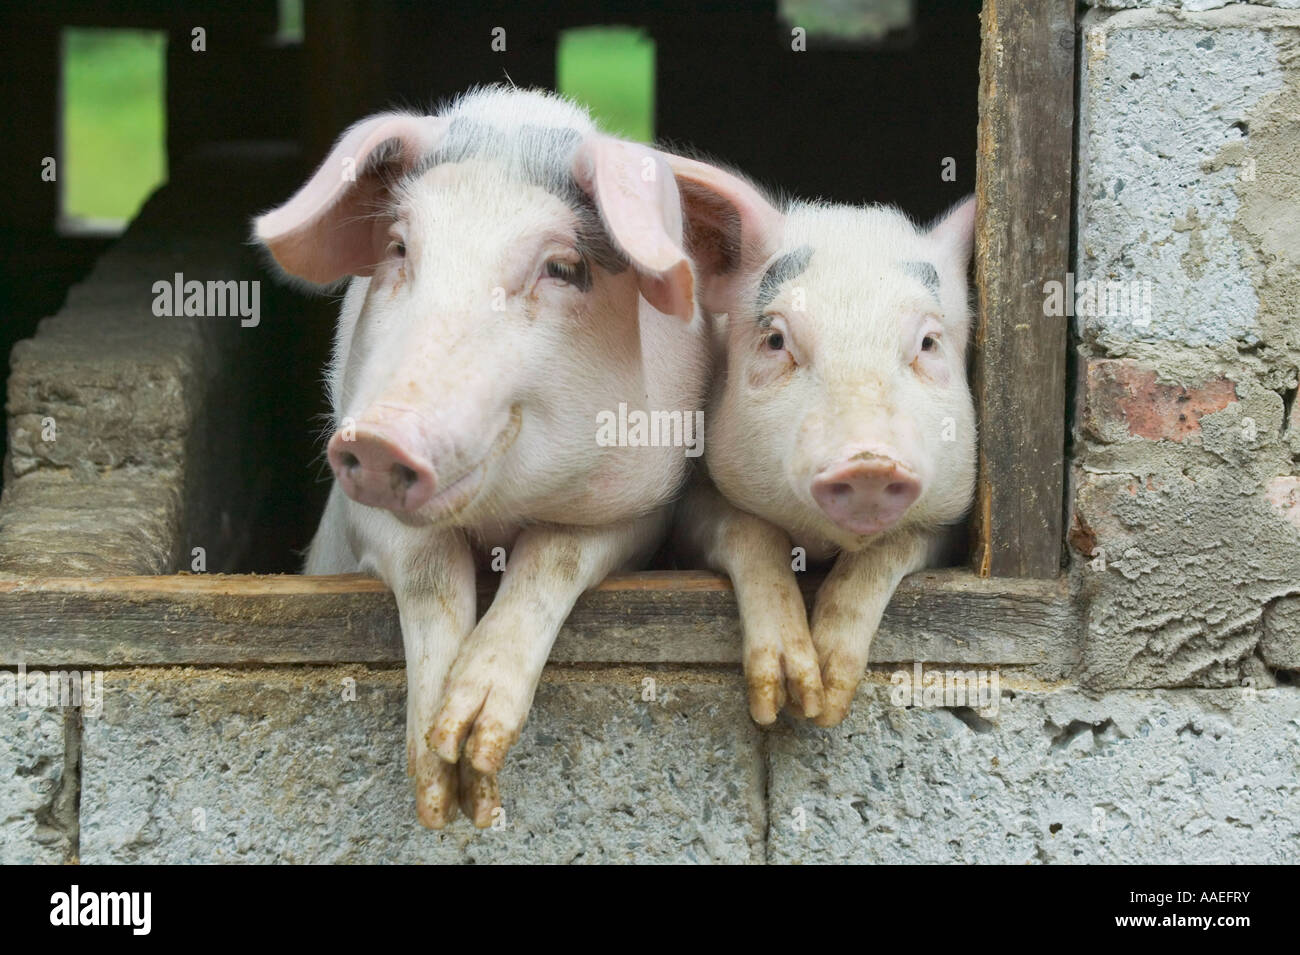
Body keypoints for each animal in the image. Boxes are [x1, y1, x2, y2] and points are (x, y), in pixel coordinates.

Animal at [253, 87, 707, 827]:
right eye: (399, 247)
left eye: (563, 268)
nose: (381, 437)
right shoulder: (356, 510)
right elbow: (428, 570)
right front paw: (441, 781)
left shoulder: (644, 502)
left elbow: (554, 556)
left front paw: (473, 762)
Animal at [663, 153, 977, 727]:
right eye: (775, 340)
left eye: (928, 342)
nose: (869, 463)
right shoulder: (693, 503)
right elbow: (749, 531)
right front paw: (789, 699)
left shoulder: (950, 518)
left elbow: (890, 549)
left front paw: (828, 700)